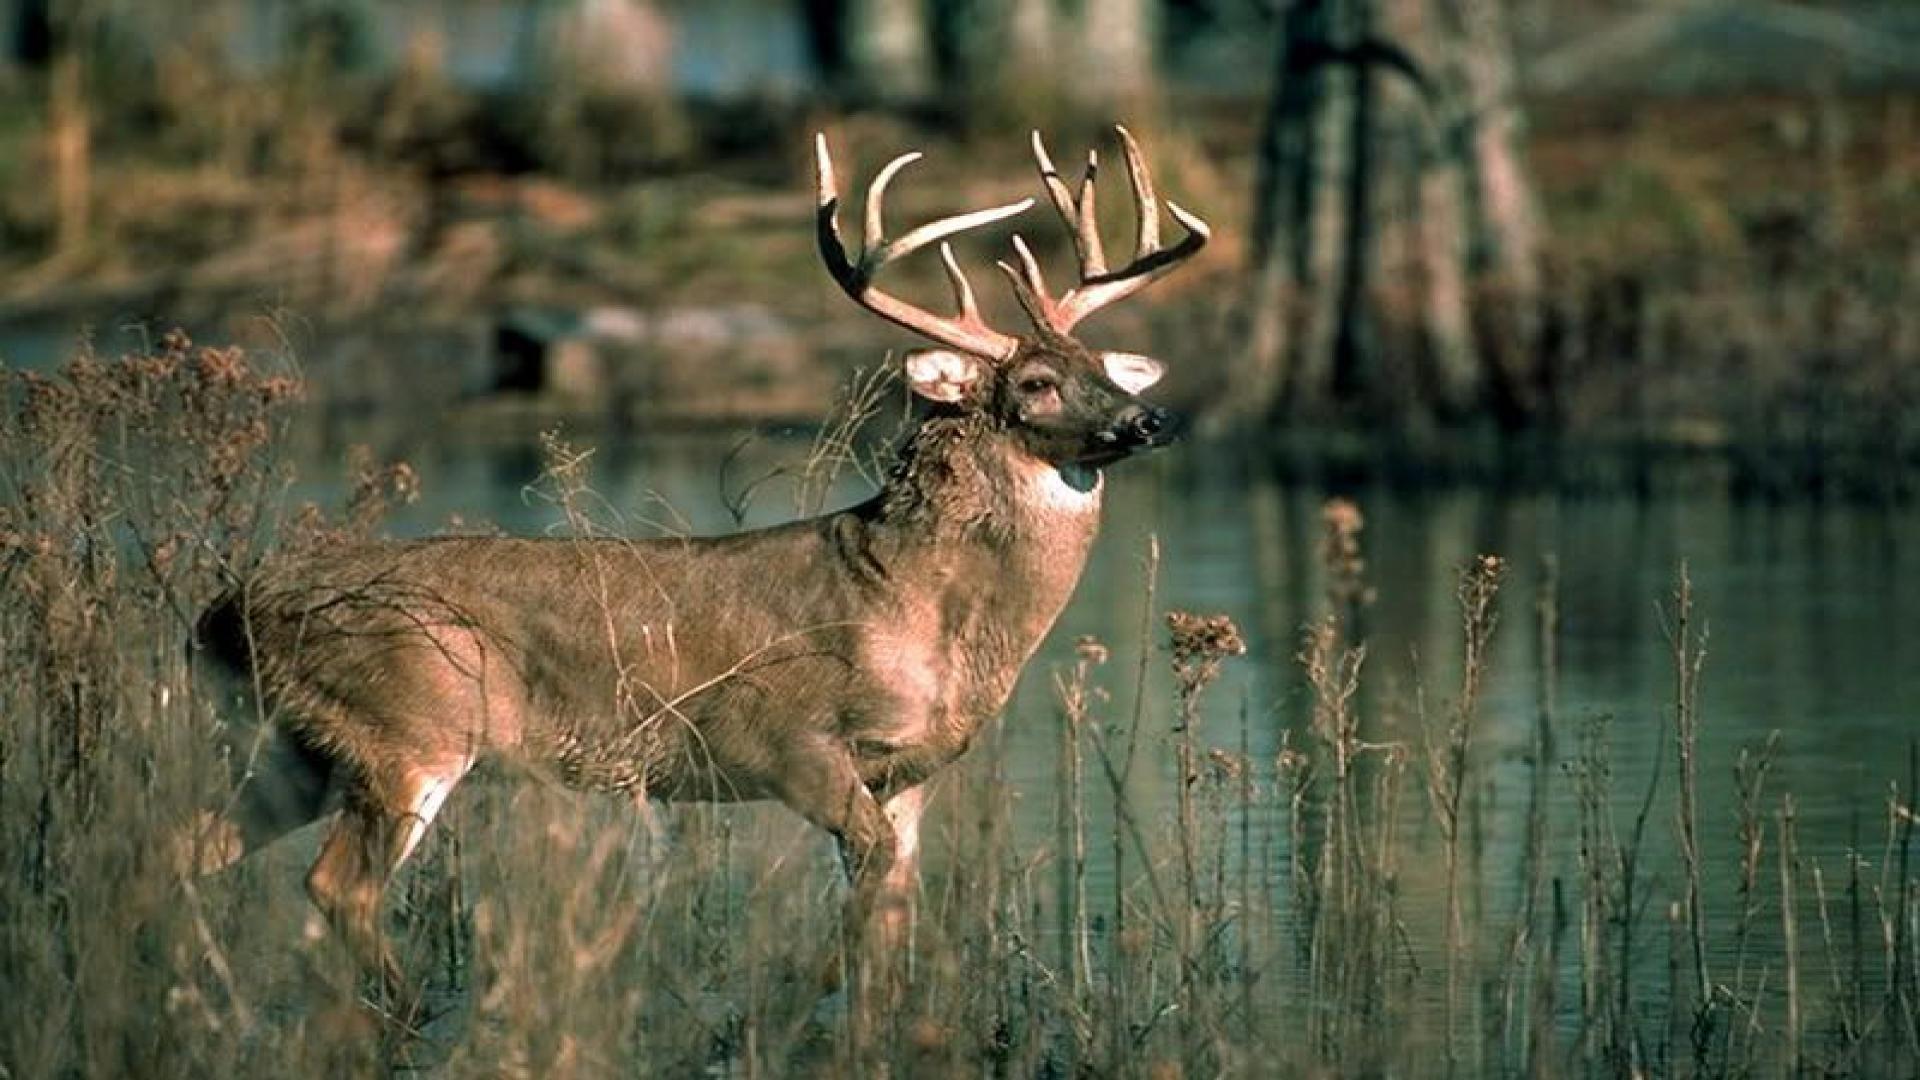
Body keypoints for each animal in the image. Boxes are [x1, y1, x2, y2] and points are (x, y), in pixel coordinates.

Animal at [187, 125, 1209, 1000]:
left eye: (1104, 370)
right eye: (1035, 383)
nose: (1149, 418)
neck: (917, 601)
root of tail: (225, 609)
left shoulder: (911, 774)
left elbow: (892, 912)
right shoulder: (790, 742)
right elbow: (866, 897)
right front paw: (808, 1001)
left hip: (296, 747)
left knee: (187, 848)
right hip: (408, 726)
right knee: (336, 887)